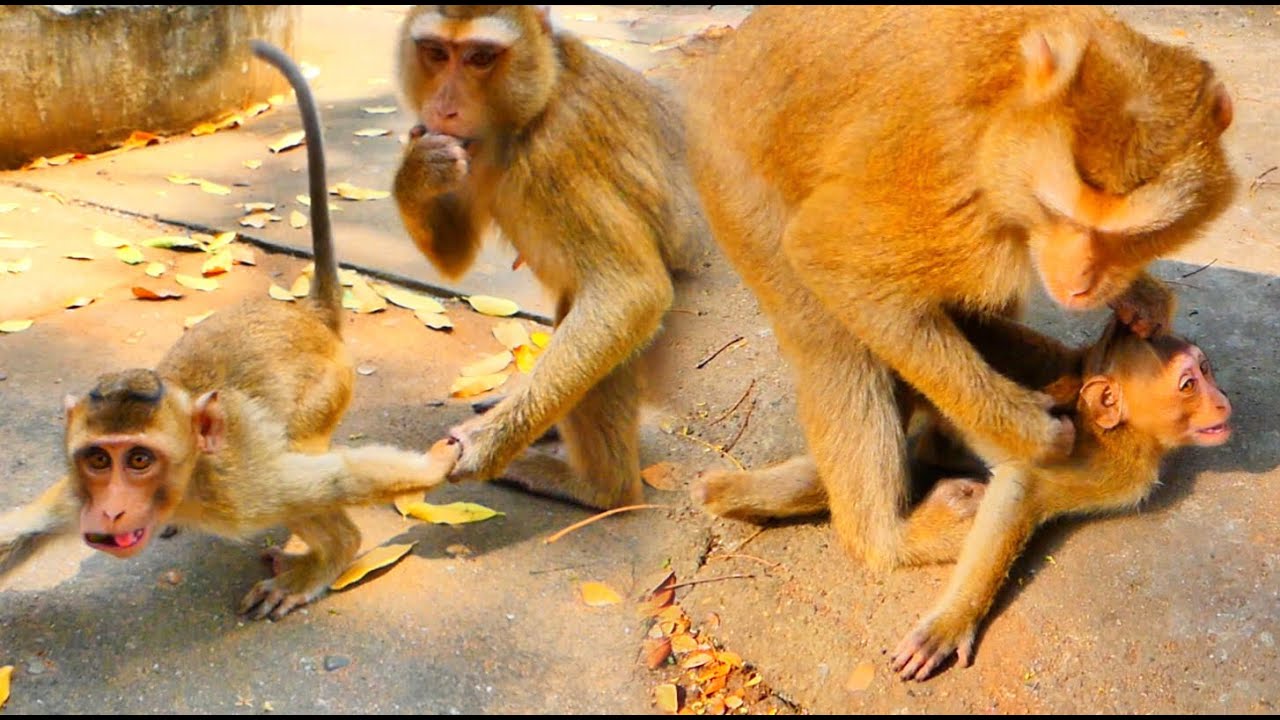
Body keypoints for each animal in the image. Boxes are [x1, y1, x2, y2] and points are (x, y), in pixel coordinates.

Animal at [0, 41, 457, 620]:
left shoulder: (239, 489)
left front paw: (436, 466)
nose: (111, 511)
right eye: (99, 460)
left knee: (306, 462)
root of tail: (308, 314)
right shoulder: (78, 493)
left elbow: (336, 478)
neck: (188, 484)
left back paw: (327, 556)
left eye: (140, 460)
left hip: (327, 392)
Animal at [392, 5, 708, 510]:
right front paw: (419, 167)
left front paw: (488, 444)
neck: (532, 114)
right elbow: (455, 256)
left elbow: (630, 292)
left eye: (481, 58)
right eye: (437, 53)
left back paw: (599, 487)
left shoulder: (560, 154)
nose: (443, 108)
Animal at [682, 5, 1236, 575]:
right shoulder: (943, 191)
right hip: (735, 181)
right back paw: (884, 539)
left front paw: (1137, 296)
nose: (1080, 283)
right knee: (830, 337)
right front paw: (1031, 431)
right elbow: (827, 255)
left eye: (1130, 237)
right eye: (1058, 213)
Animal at [692, 314, 1233, 681]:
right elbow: (1016, 492)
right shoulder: (1098, 464)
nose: (1224, 402)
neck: (1129, 436)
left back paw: (734, 494)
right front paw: (953, 621)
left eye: (1208, 371)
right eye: (1189, 384)